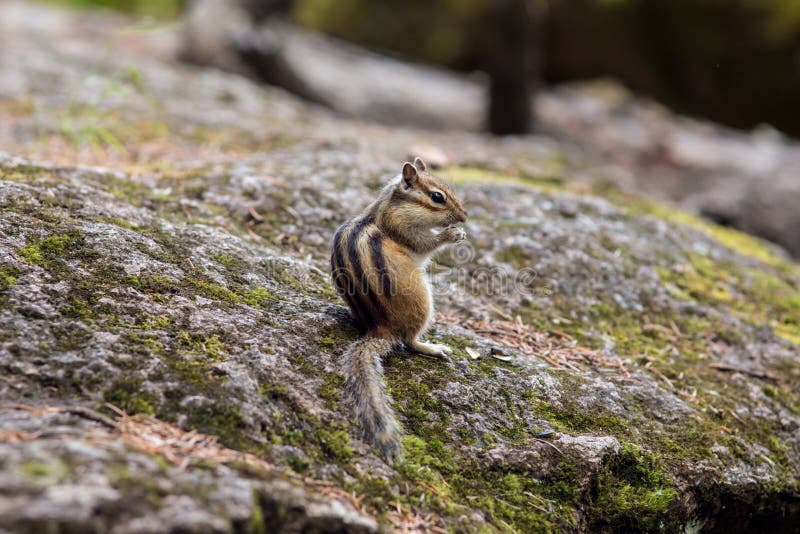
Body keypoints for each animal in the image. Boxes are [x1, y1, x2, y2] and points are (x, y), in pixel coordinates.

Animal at [330, 157, 468, 462]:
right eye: (437, 197)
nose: (465, 217)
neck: (387, 206)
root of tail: (381, 330)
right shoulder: (404, 229)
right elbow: (427, 244)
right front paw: (453, 233)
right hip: (423, 302)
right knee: (409, 341)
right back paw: (433, 347)